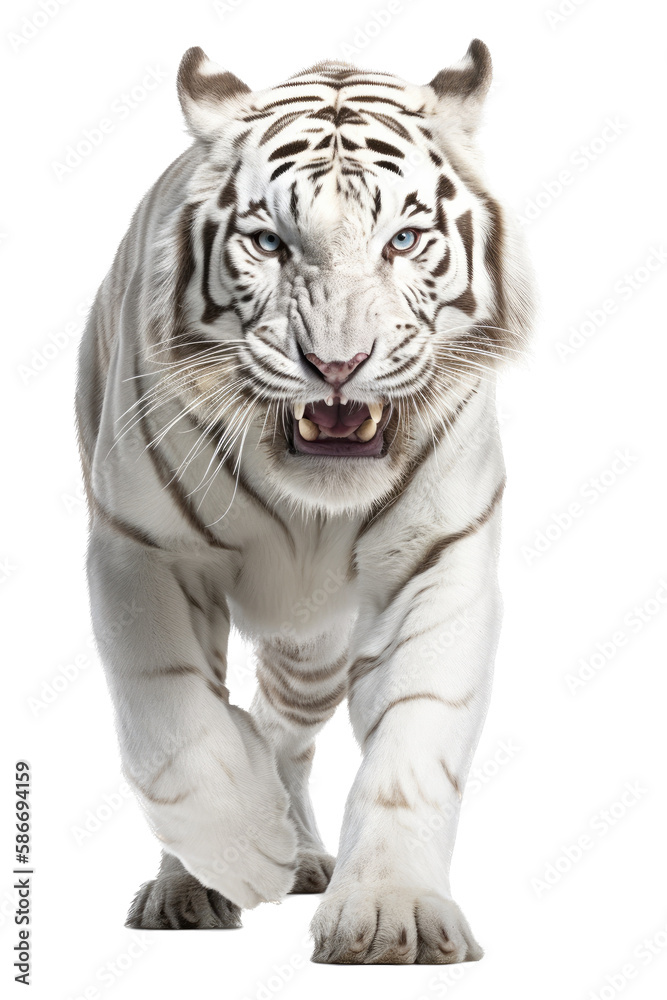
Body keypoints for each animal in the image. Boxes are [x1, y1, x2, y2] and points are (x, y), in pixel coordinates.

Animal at [75, 39, 534, 964]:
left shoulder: (442, 558)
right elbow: (174, 728)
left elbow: (414, 740)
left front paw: (391, 913)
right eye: (268, 243)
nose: (336, 365)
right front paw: (243, 853)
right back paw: (199, 882)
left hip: (316, 650)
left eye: (403, 240)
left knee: (279, 725)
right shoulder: (140, 550)